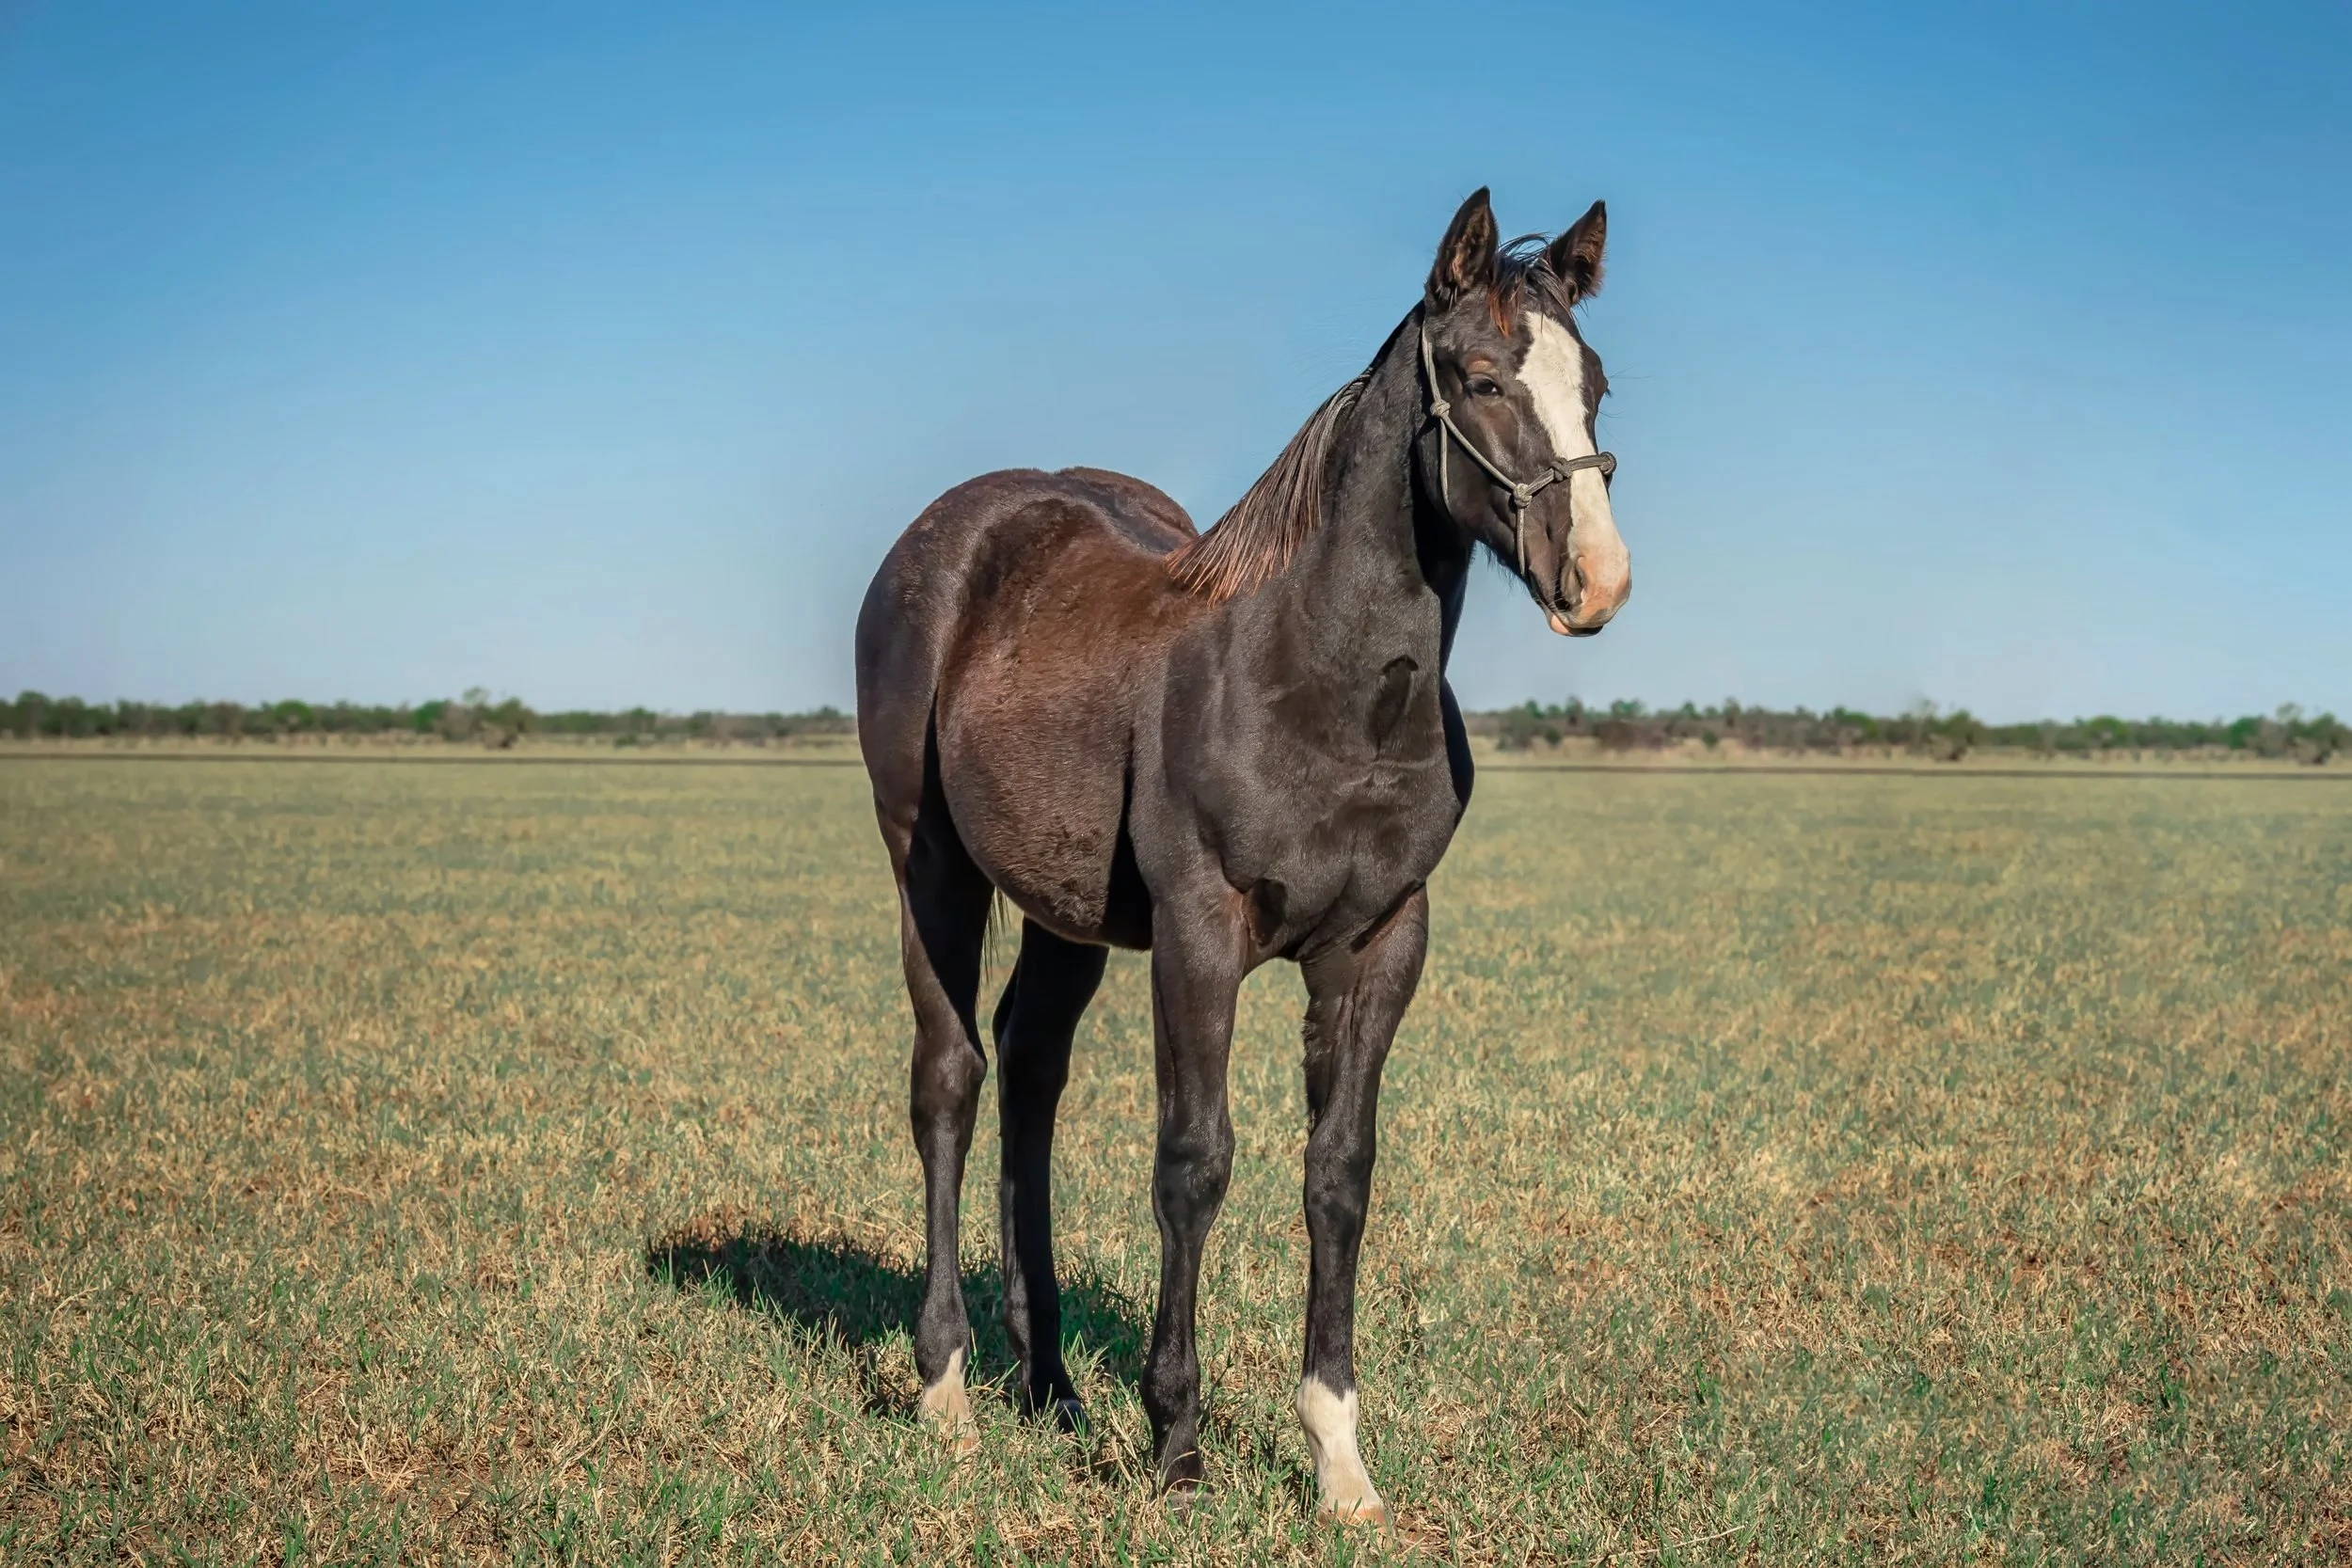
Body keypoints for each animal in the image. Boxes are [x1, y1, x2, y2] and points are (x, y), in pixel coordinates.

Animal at [853, 188, 1629, 1523]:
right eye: (1482, 379)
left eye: (1597, 387)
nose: (1597, 579)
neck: (1321, 685)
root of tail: (951, 532)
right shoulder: (1201, 934)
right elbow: (1194, 1163)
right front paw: (1175, 1439)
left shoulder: (1380, 945)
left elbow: (1339, 1173)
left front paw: (1338, 1457)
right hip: (931, 868)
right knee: (950, 1080)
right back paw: (948, 1387)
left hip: (1063, 915)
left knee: (1030, 1073)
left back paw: (1049, 1385)